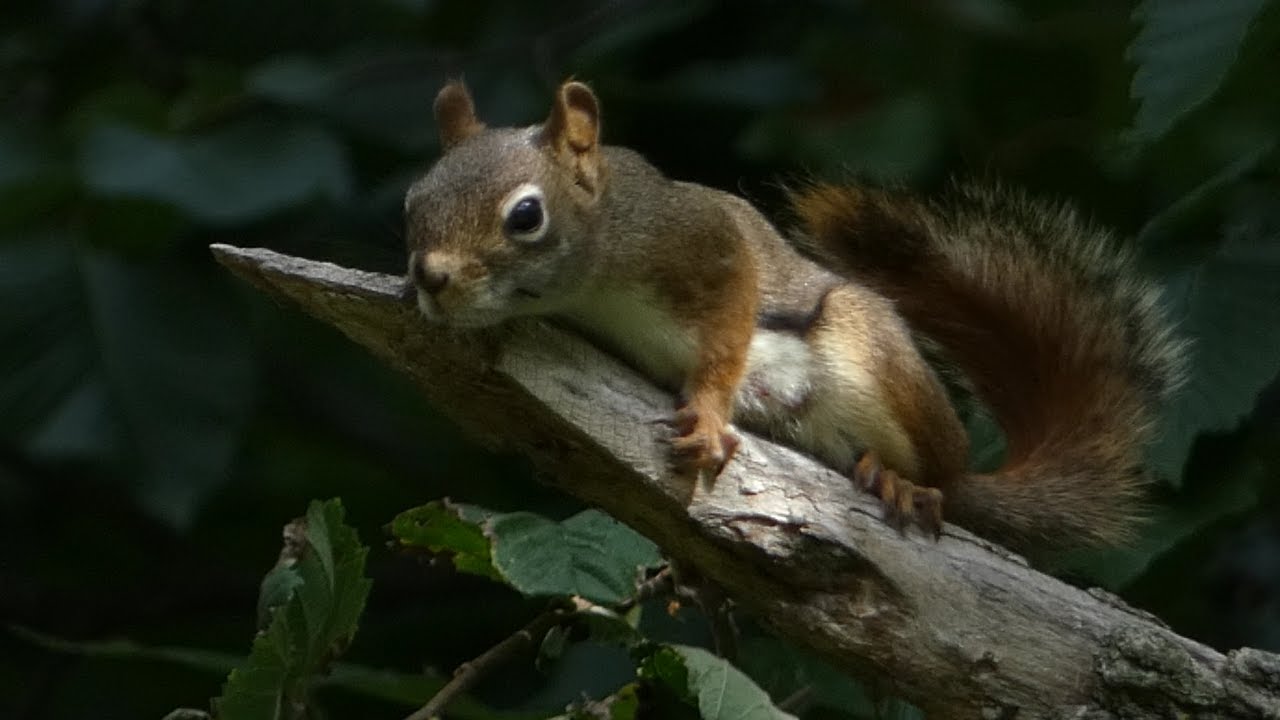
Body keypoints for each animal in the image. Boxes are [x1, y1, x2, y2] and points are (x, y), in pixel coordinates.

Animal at [404, 80, 1186, 554]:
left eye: (526, 216)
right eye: (413, 201)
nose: (430, 279)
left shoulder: (704, 245)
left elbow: (727, 334)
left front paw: (708, 415)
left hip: (869, 354)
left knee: (941, 478)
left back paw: (908, 483)